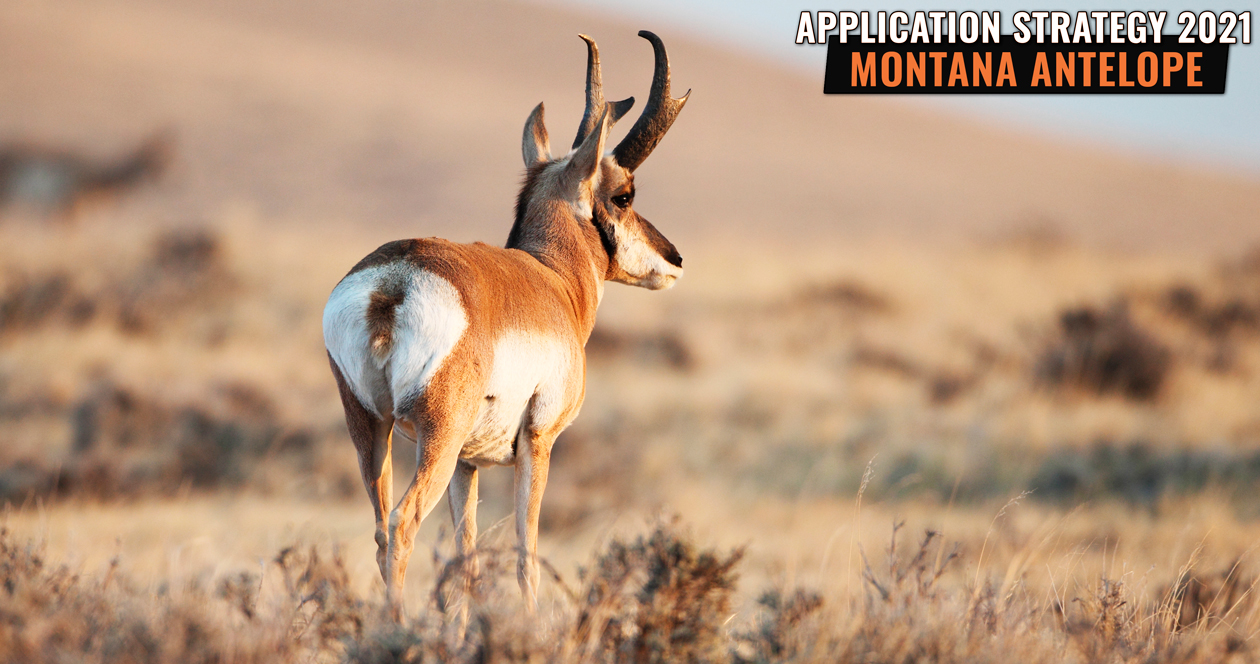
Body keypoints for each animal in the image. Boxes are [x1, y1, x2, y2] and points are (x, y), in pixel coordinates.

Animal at [322, 31, 689, 617]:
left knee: (380, 528)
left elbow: (466, 560)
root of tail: (395, 280)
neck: (550, 277)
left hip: (372, 430)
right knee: (402, 524)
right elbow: (525, 555)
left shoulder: (468, 466)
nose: (674, 259)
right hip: (437, 439)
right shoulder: (539, 443)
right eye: (624, 195)